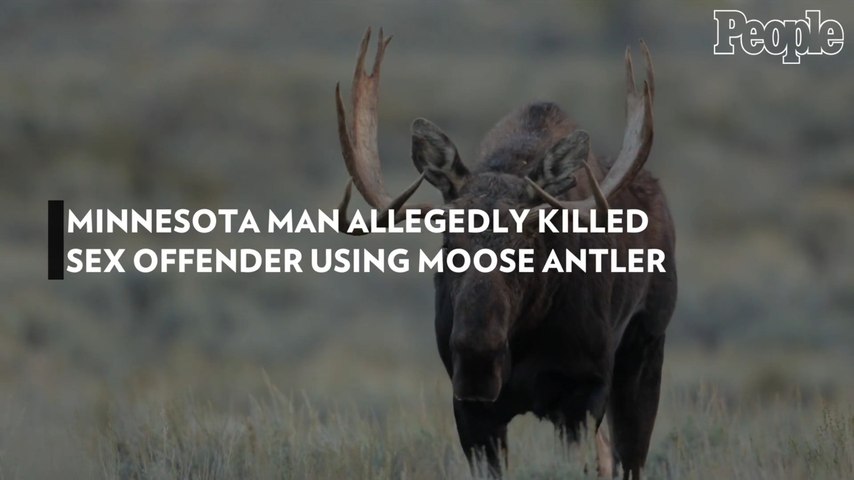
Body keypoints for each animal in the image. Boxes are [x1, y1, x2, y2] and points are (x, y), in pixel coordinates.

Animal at [333, 28, 677, 479]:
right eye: (448, 242)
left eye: (528, 243)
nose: (478, 356)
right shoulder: (471, 408)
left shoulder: (583, 391)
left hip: (646, 345)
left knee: (629, 455)